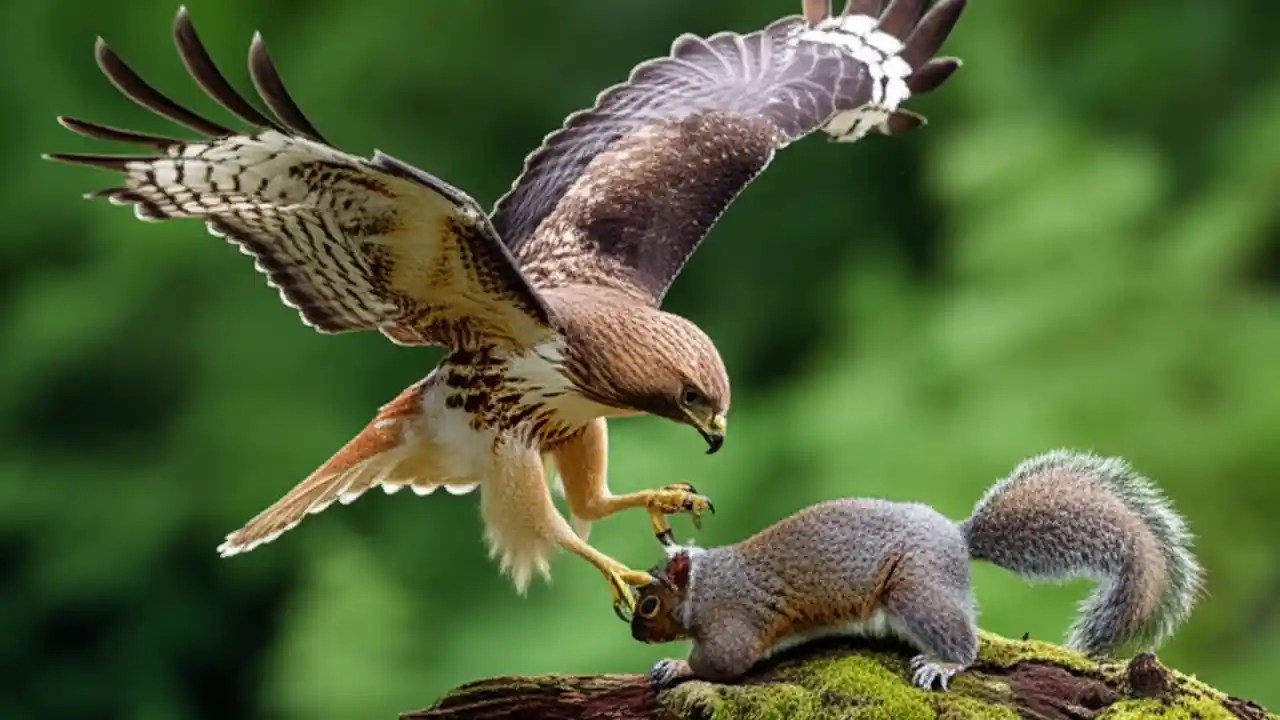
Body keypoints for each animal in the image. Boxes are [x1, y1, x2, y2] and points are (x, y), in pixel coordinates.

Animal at [630, 449, 1204, 691]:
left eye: (650, 602)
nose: (635, 633)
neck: (704, 587)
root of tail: (958, 536)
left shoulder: (733, 620)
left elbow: (721, 663)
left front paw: (676, 666)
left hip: (916, 589)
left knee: (964, 644)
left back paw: (943, 664)